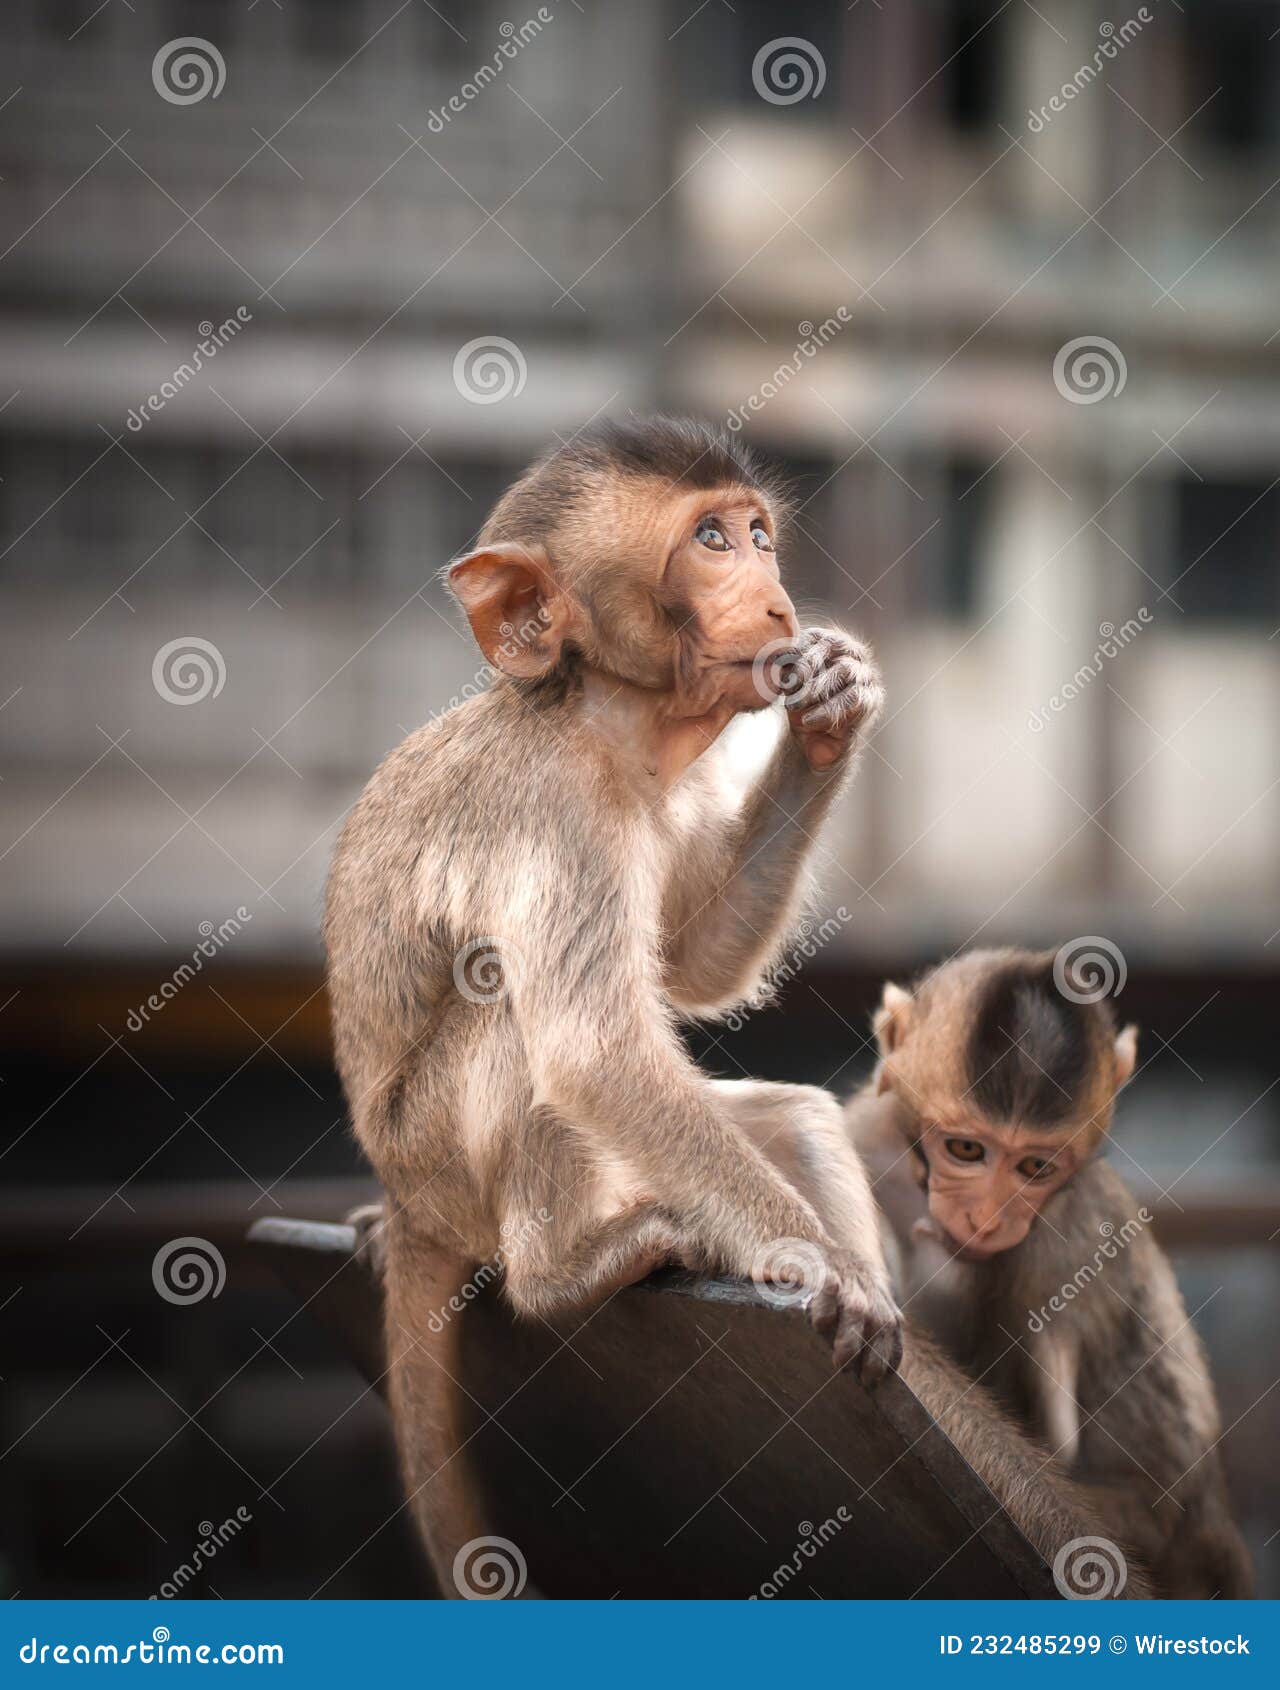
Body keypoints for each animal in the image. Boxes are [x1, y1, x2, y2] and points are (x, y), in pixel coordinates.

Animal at [324, 416, 904, 1581]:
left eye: (760, 534)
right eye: (712, 540)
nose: (779, 604)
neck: (604, 719)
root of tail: (407, 1202)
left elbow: (694, 966)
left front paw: (831, 712)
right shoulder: (558, 811)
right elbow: (596, 1049)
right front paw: (818, 1261)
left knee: (791, 1118)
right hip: (440, 1161)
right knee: (513, 1016)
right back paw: (566, 1272)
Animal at [847, 947, 1253, 1599]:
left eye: (1034, 1167)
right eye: (966, 1150)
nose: (987, 1219)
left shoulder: (1068, 1233)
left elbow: (1065, 1460)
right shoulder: (867, 1133)